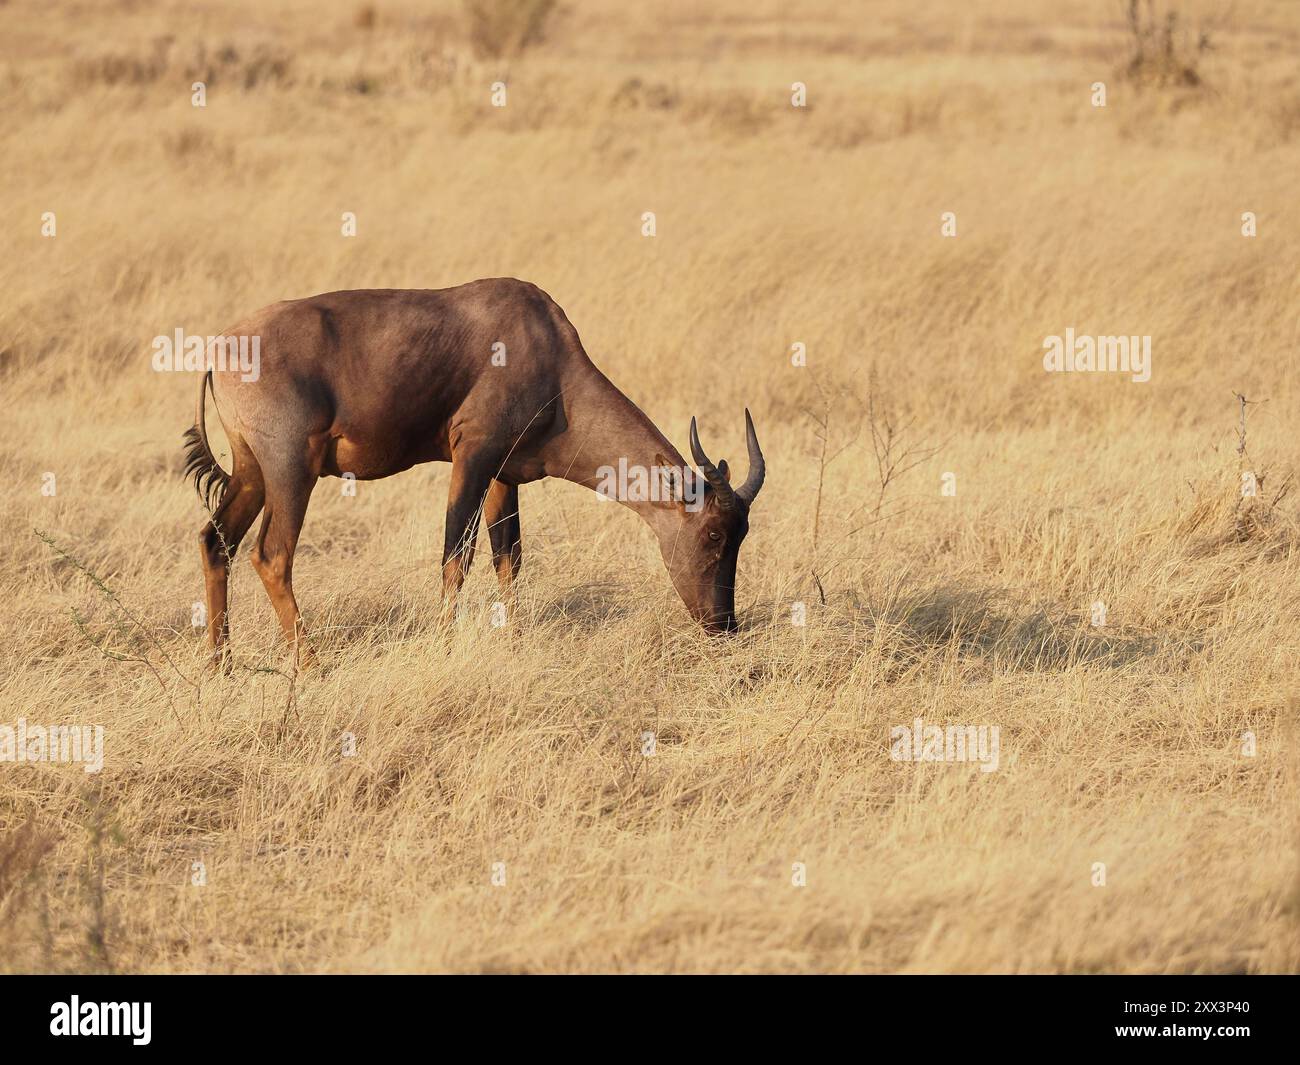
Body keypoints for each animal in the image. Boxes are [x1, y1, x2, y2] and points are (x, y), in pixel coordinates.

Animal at [184, 278, 765, 668]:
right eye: (714, 533)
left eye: (742, 534)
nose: (724, 625)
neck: (548, 350)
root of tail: (221, 349)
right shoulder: (473, 455)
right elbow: (455, 557)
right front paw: (443, 649)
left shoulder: (504, 474)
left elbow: (509, 558)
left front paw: (514, 643)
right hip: (290, 470)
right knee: (272, 555)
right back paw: (311, 667)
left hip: (251, 472)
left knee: (216, 541)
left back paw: (221, 665)